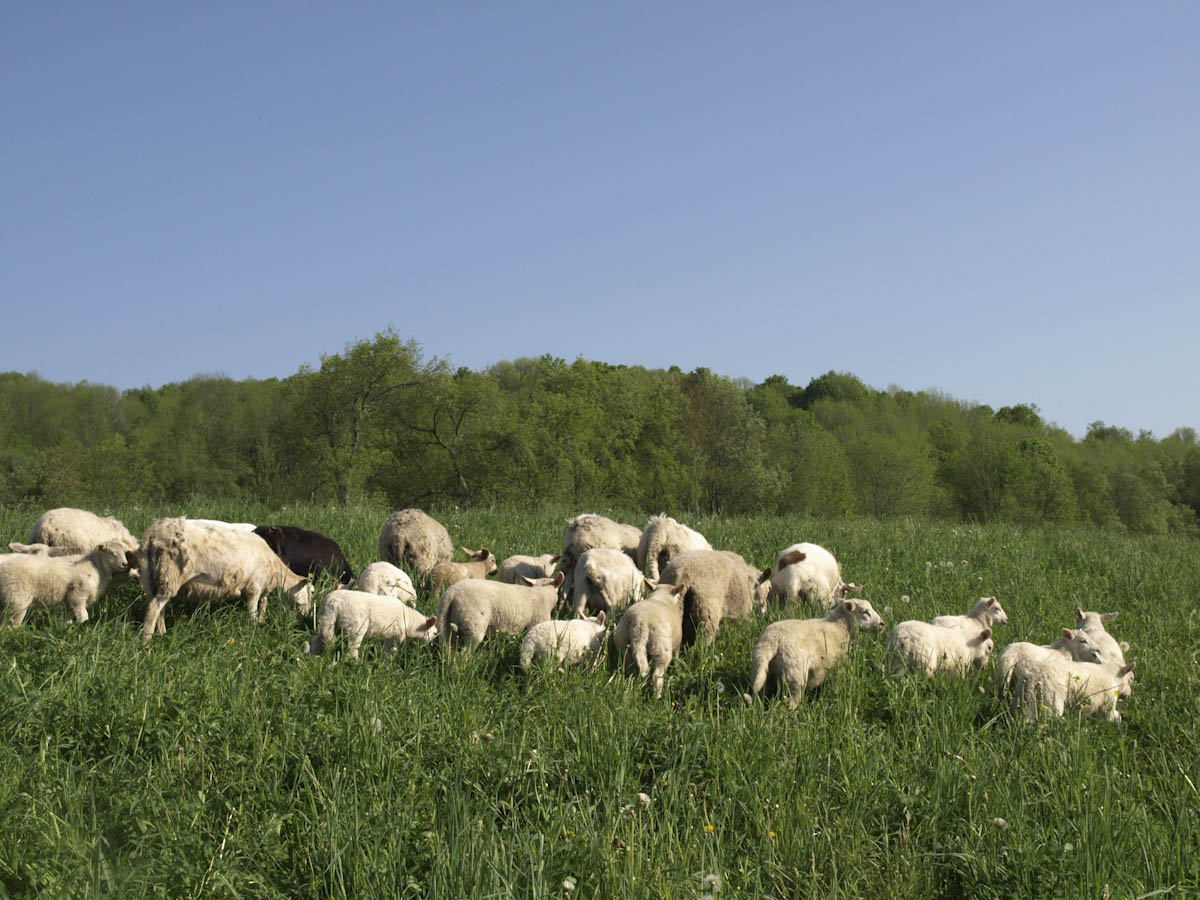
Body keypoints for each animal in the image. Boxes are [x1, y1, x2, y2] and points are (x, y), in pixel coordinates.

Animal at [0, 543, 129, 627]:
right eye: (112, 553)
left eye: (125, 553)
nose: (125, 564)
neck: (96, 566)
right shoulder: (78, 595)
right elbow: (83, 616)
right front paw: (82, 628)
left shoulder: (70, 597)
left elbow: (69, 615)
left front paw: (67, 628)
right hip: (17, 597)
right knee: (13, 623)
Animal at [137, 517, 313, 639]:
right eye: (311, 592)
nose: (307, 615)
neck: (275, 568)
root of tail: (153, 533)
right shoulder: (253, 587)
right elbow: (253, 609)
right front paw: (254, 629)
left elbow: (264, 603)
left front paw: (261, 621)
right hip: (170, 574)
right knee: (154, 608)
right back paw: (147, 642)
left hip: (152, 577)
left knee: (158, 608)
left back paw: (162, 633)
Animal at [305, 589, 437, 658]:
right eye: (435, 633)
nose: (432, 645)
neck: (410, 621)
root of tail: (333, 603)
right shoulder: (396, 636)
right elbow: (391, 650)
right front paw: (388, 663)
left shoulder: (390, 635)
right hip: (355, 626)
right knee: (352, 648)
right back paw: (354, 662)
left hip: (327, 620)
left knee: (319, 638)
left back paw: (313, 657)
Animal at [750, 599, 885, 708]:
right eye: (865, 612)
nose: (882, 624)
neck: (840, 626)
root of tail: (771, 640)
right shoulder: (837, 663)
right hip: (795, 671)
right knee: (793, 699)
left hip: (762, 668)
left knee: (760, 691)